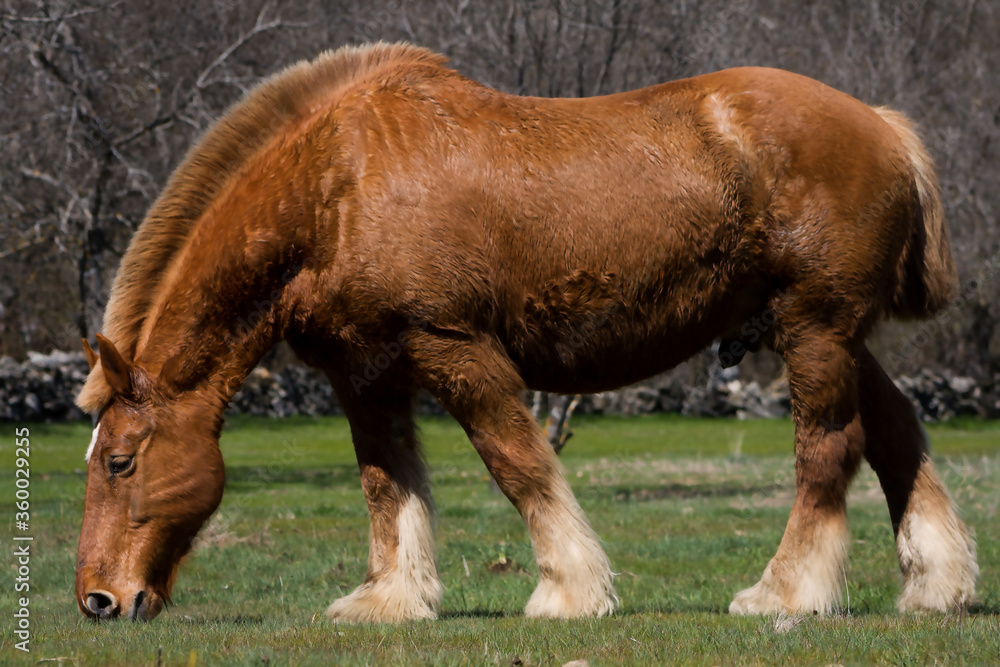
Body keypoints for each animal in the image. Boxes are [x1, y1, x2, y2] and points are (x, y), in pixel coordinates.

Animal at [74, 42, 977, 622]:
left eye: (120, 460)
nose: (98, 598)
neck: (338, 185)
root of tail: (883, 125)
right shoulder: (367, 372)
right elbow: (387, 483)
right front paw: (392, 597)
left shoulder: (455, 348)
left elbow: (518, 465)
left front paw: (569, 590)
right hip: (837, 335)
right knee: (898, 436)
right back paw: (937, 584)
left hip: (813, 329)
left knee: (828, 450)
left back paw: (786, 592)